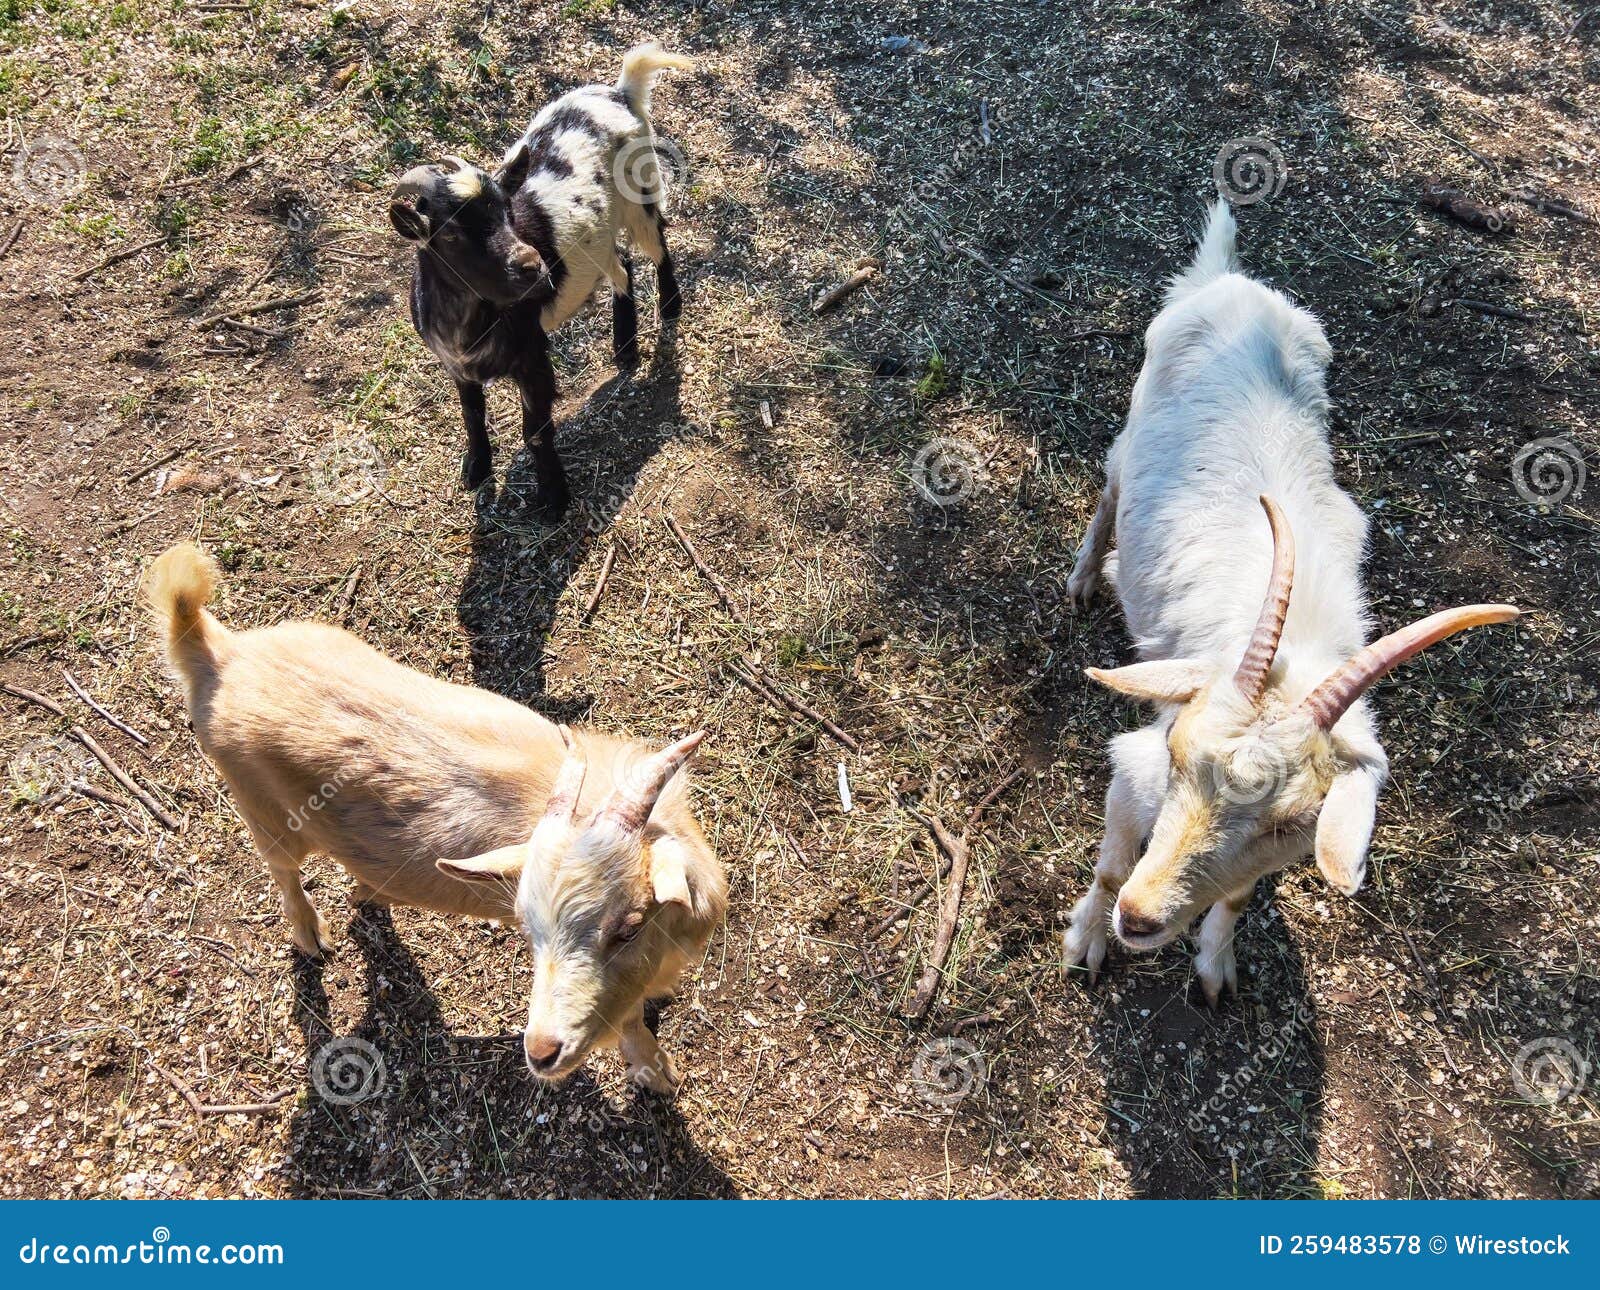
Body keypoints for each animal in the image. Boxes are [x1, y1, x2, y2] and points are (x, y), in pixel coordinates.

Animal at [144, 543, 726, 1092]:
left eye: (629, 928)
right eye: (527, 930)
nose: (540, 1052)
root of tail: (222, 655)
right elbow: (629, 1022)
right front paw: (655, 1069)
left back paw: (369, 893)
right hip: (261, 810)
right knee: (284, 871)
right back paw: (311, 933)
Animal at [388, 43, 692, 510]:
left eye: (506, 212)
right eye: (451, 233)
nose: (533, 267)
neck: (467, 325)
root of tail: (619, 92)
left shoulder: (532, 356)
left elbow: (534, 431)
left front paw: (554, 498)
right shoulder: (457, 367)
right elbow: (472, 416)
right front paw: (476, 471)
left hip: (640, 193)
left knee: (657, 242)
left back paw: (670, 307)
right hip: (599, 236)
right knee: (621, 262)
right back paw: (624, 348)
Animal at [1062, 203, 1519, 1005]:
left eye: (1288, 823)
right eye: (1177, 758)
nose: (1142, 919)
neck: (1299, 660)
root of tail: (1230, 282)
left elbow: (1239, 896)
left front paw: (1216, 967)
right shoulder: (1135, 772)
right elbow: (1113, 862)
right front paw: (1086, 942)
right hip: (1133, 427)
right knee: (1113, 488)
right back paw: (1087, 576)